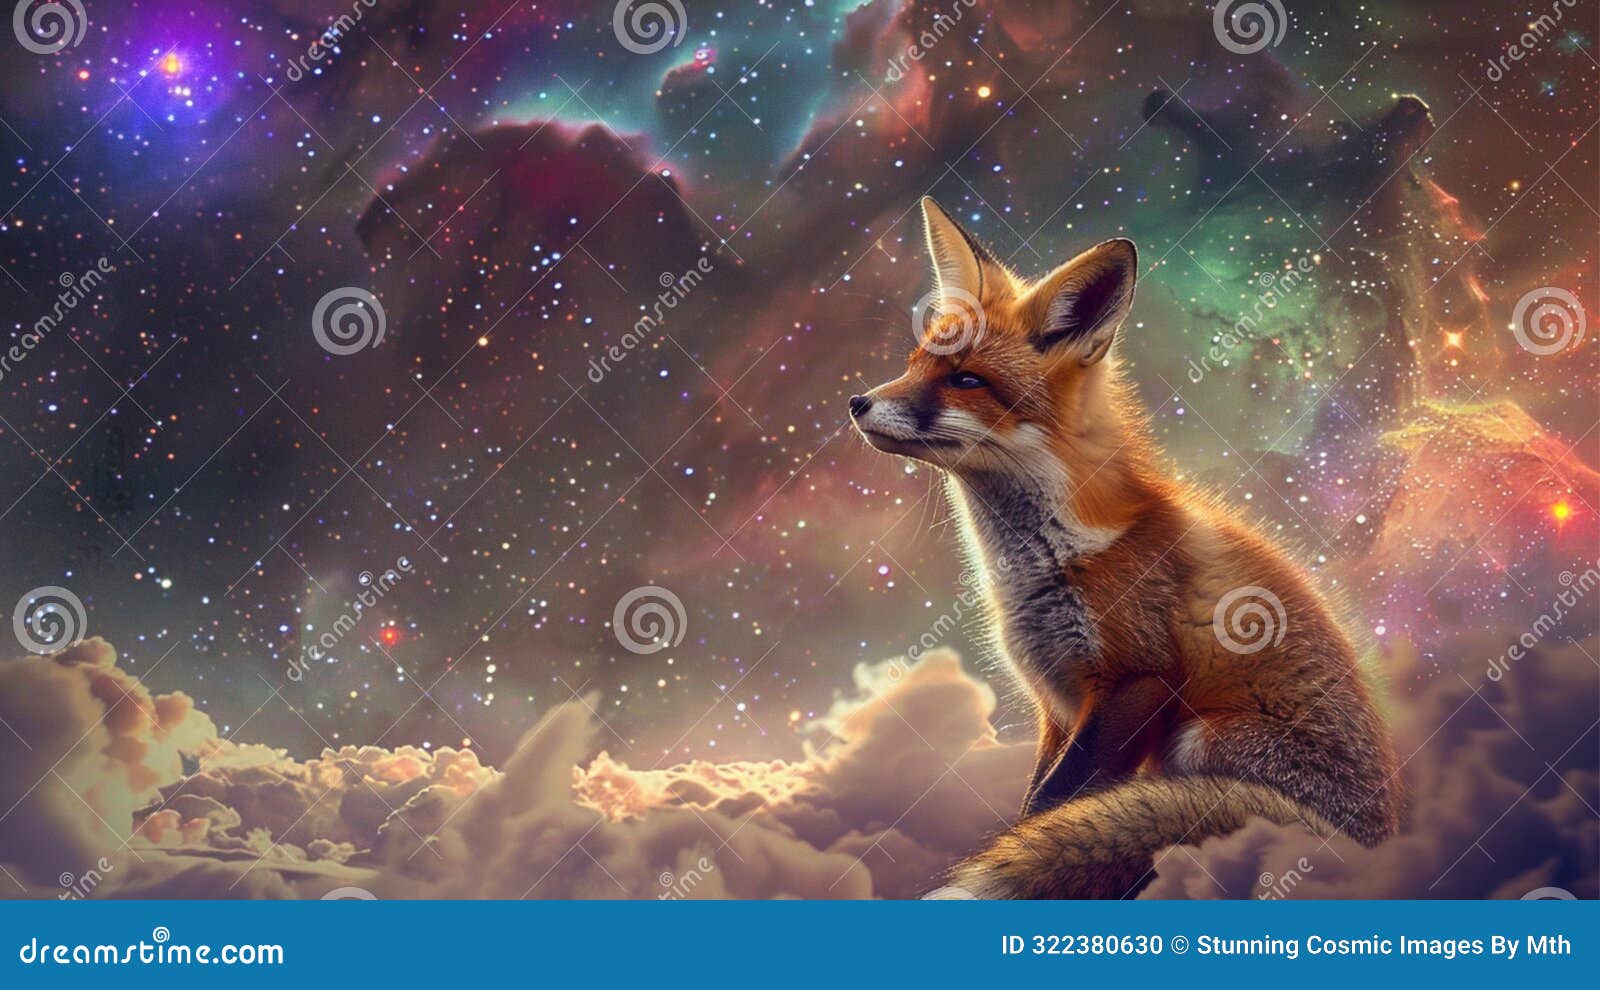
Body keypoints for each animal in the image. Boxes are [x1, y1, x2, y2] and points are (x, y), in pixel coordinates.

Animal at [848, 198, 1403, 899]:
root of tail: (1379, 842)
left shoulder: (1139, 679)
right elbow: (1045, 800)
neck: (1045, 559)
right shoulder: (1056, 704)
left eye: (967, 379)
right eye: (916, 362)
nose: (857, 402)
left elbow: (1056, 804)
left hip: (1204, 738)